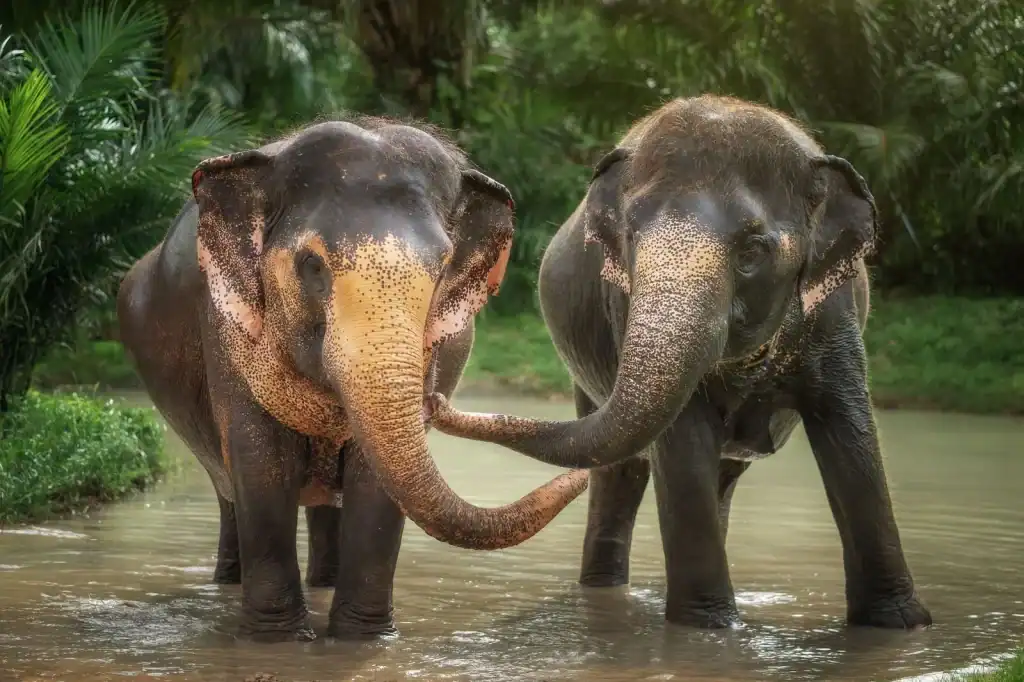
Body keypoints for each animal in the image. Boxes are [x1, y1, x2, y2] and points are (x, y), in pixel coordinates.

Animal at [116, 117, 588, 642]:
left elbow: (376, 482)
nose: (437, 403)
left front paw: (361, 641)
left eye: (443, 267)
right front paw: (277, 641)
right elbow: (260, 466)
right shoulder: (223, 326)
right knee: (229, 493)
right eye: (312, 264)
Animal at [426, 95, 932, 631]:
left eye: (753, 252)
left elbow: (850, 434)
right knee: (620, 472)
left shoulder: (835, 313)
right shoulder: (622, 302)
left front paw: (899, 623)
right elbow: (683, 443)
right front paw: (708, 629)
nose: (435, 400)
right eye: (629, 238)